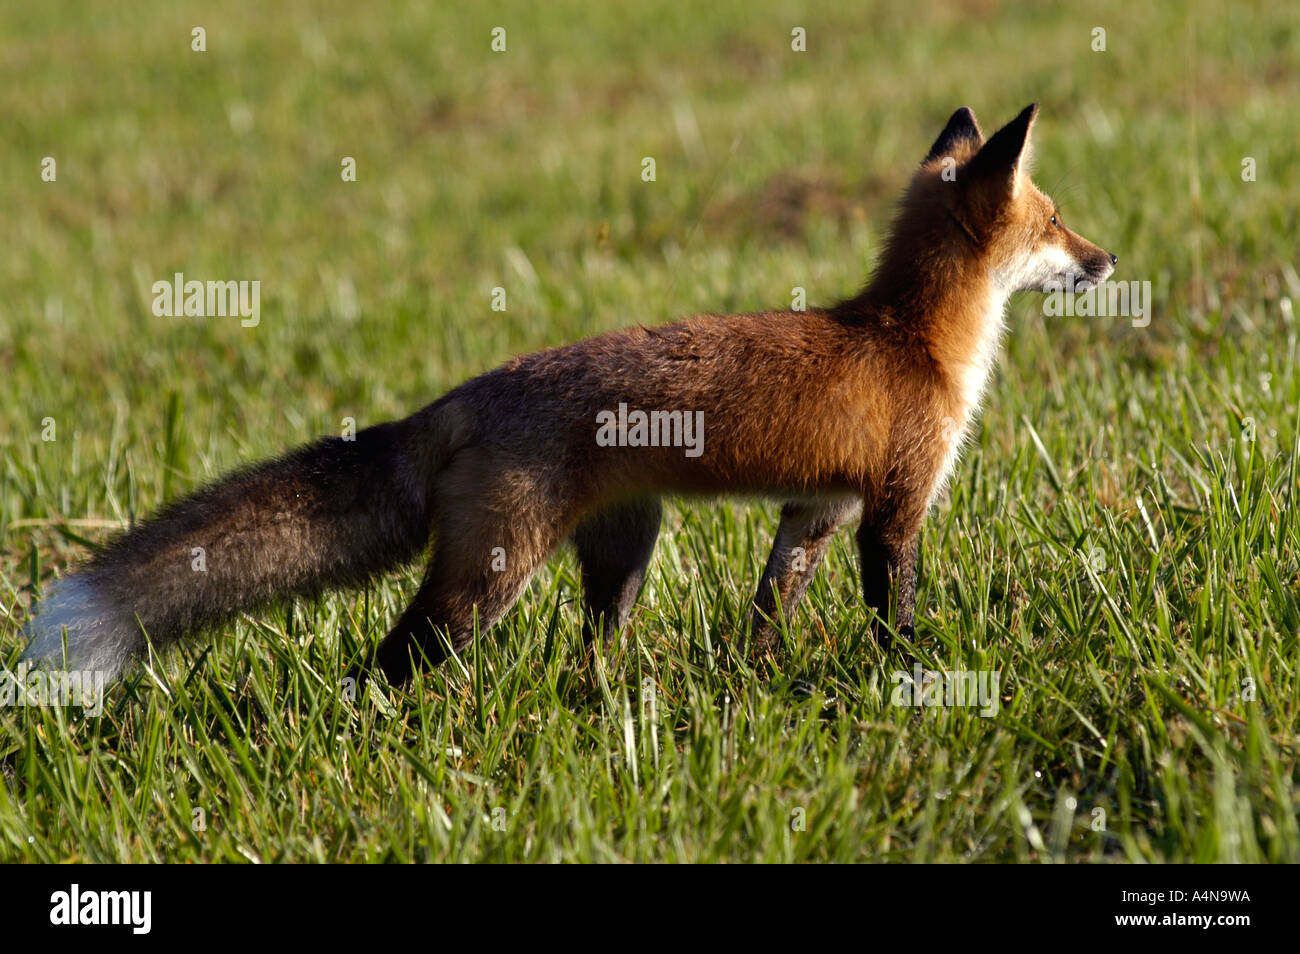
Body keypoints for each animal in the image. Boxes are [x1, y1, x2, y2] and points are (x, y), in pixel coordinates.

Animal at [20, 103, 1116, 688]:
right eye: (1058, 221)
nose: (1108, 261)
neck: (910, 342)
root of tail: (456, 399)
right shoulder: (894, 507)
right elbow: (896, 612)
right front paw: (914, 676)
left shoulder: (815, 513)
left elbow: (767, 609)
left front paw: (754, 678)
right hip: (491, 575)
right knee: (391, 659)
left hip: (624, 549)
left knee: (591, 645)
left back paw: (605, 698)